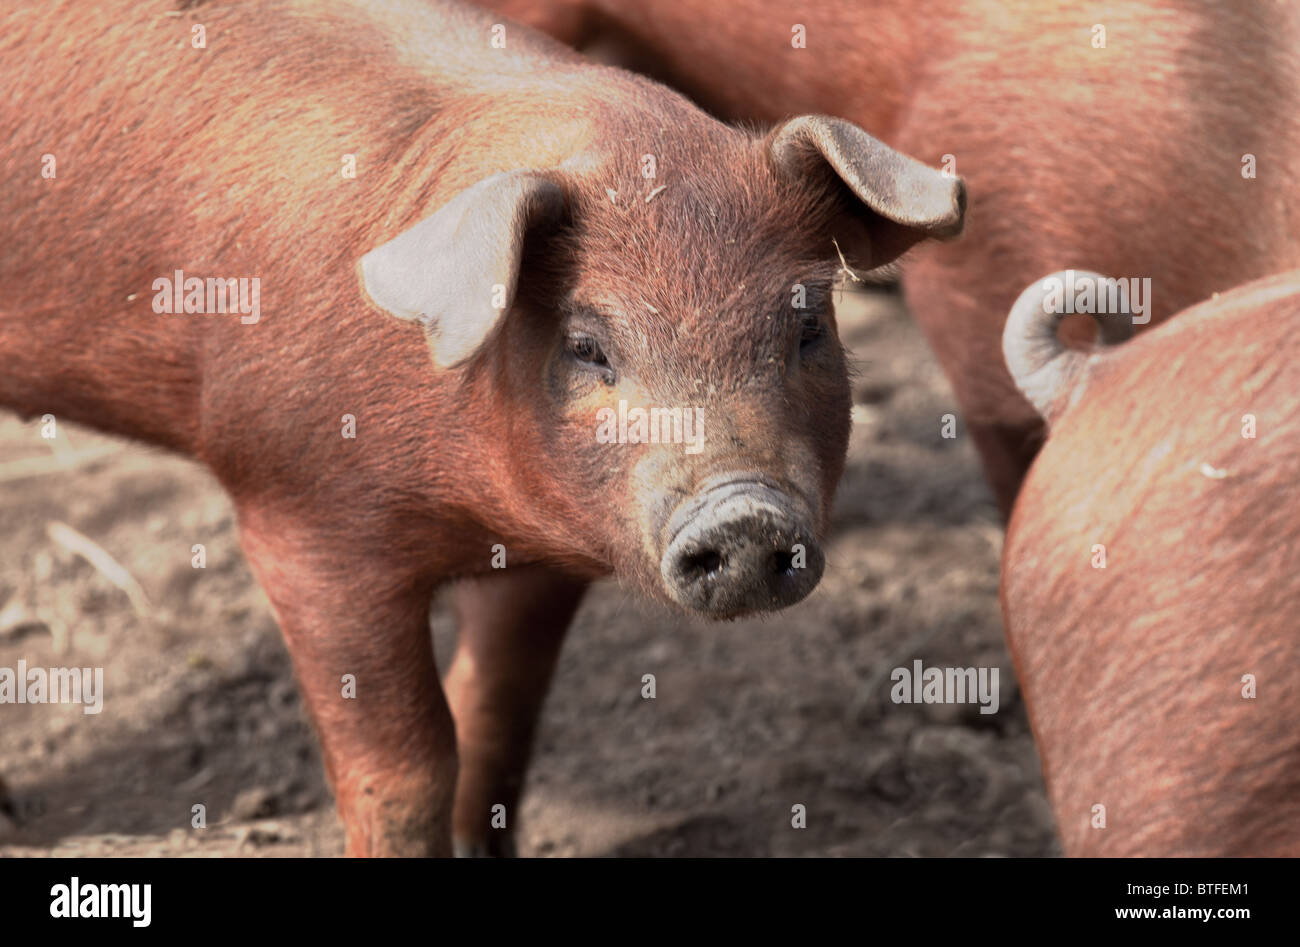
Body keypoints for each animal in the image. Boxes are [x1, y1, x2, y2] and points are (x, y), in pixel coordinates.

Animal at [0, 0, 964, 855]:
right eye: (586, 345)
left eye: (806, 325)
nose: (744, 512)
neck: (469, 514)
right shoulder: (296, 515)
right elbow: (405, 766)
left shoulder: (550, 554)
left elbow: (498, 708)